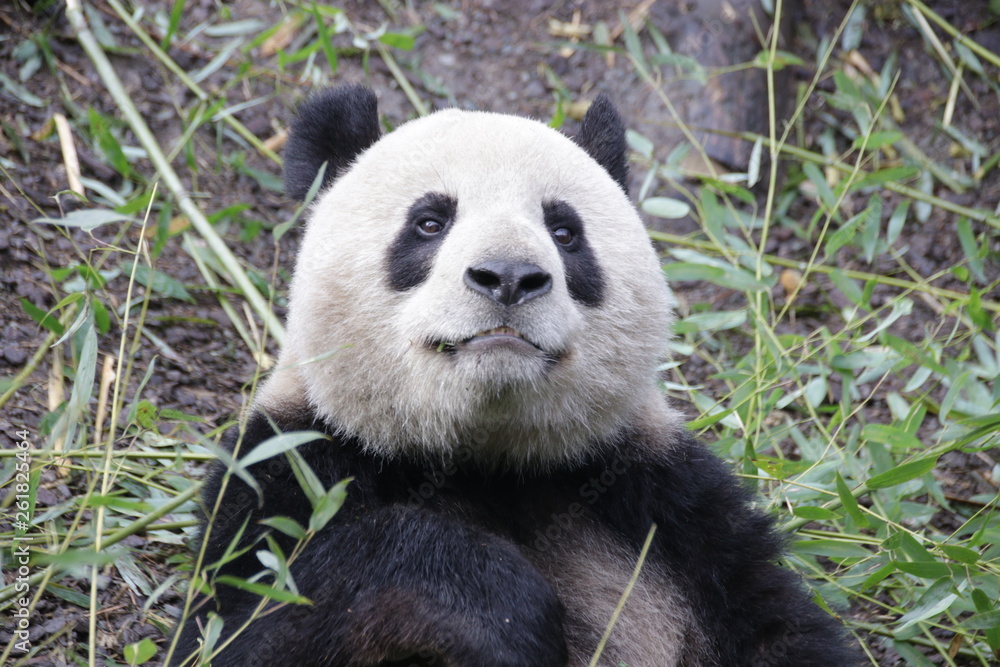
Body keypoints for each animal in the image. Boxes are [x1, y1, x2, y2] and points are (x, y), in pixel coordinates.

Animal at [170, 85, 856, 666]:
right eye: (430, 221)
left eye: (565, 230)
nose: (508, 276)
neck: (486, 454)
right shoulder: (291, 465)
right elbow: (254, 623)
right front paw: (504, 616)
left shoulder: (670, 508)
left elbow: (777, 628)